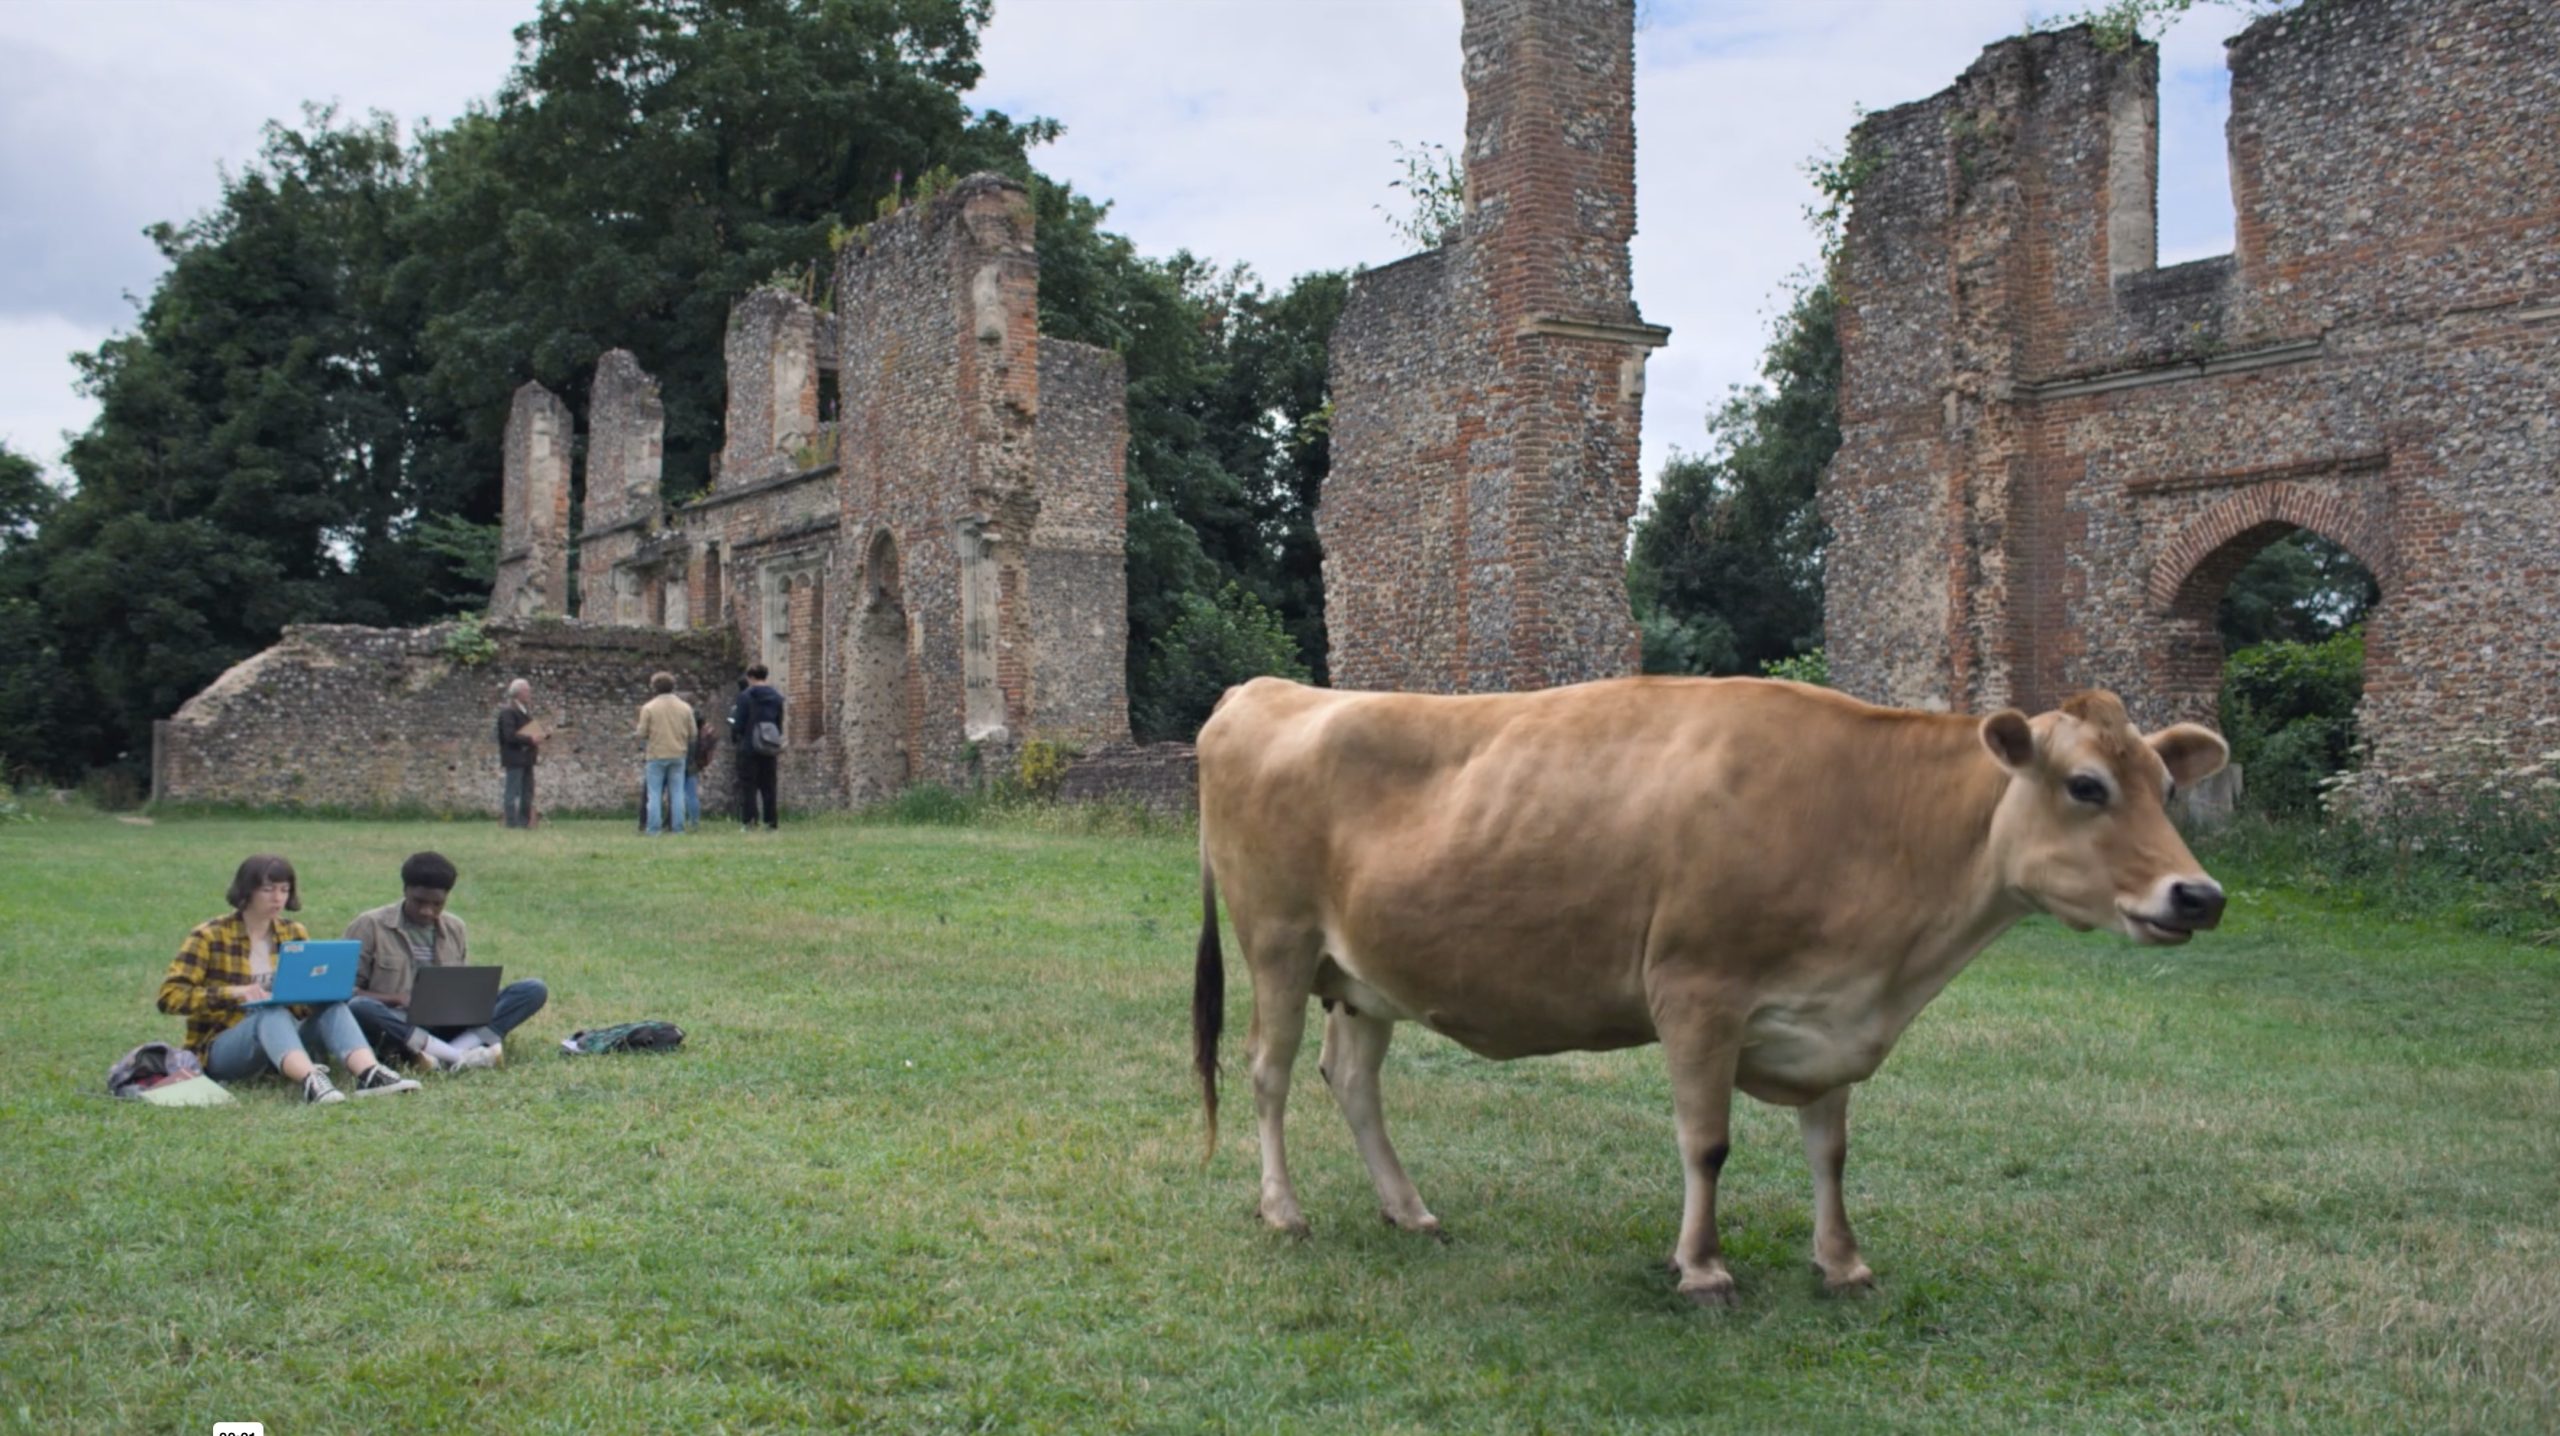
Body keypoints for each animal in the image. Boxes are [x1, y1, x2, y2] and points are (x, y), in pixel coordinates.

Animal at [1191, 675, 2229, 1305]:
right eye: (2087, 786)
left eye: (2167, 788)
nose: (2201, 895)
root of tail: (1266, 690)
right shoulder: (1696, 991)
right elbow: (1708, 1142)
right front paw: (1702, 1268)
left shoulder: (1830, 1015)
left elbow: (1830, 1151)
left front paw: (1843, 1262)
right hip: (1279, 942)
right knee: (1269, 1073)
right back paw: (1283, 1210)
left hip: (1364, 975)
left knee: (1353, 1080)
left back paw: (1409, 1209)